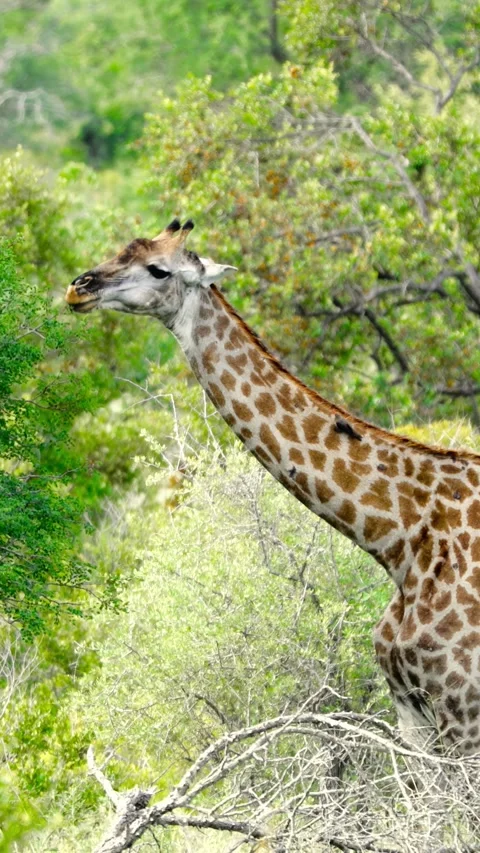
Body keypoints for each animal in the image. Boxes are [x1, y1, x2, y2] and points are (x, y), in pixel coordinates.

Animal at [66, 218, 480, 755]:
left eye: (158, 269)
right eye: (122, 250)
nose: (79, 289)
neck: (401, 542)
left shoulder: (463, 716)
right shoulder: (414, 719)